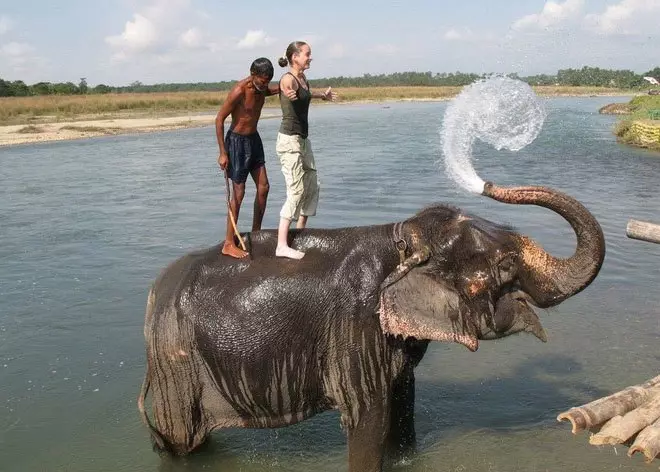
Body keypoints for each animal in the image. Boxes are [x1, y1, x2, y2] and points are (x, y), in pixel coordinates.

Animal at [138, 181, 604, 472]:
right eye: (505, 266)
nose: (486, 185)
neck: (402, 239)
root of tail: (153, 294)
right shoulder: (356, 330)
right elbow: (369, 418)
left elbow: (402, 403)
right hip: (176, 362)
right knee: (181, 439)